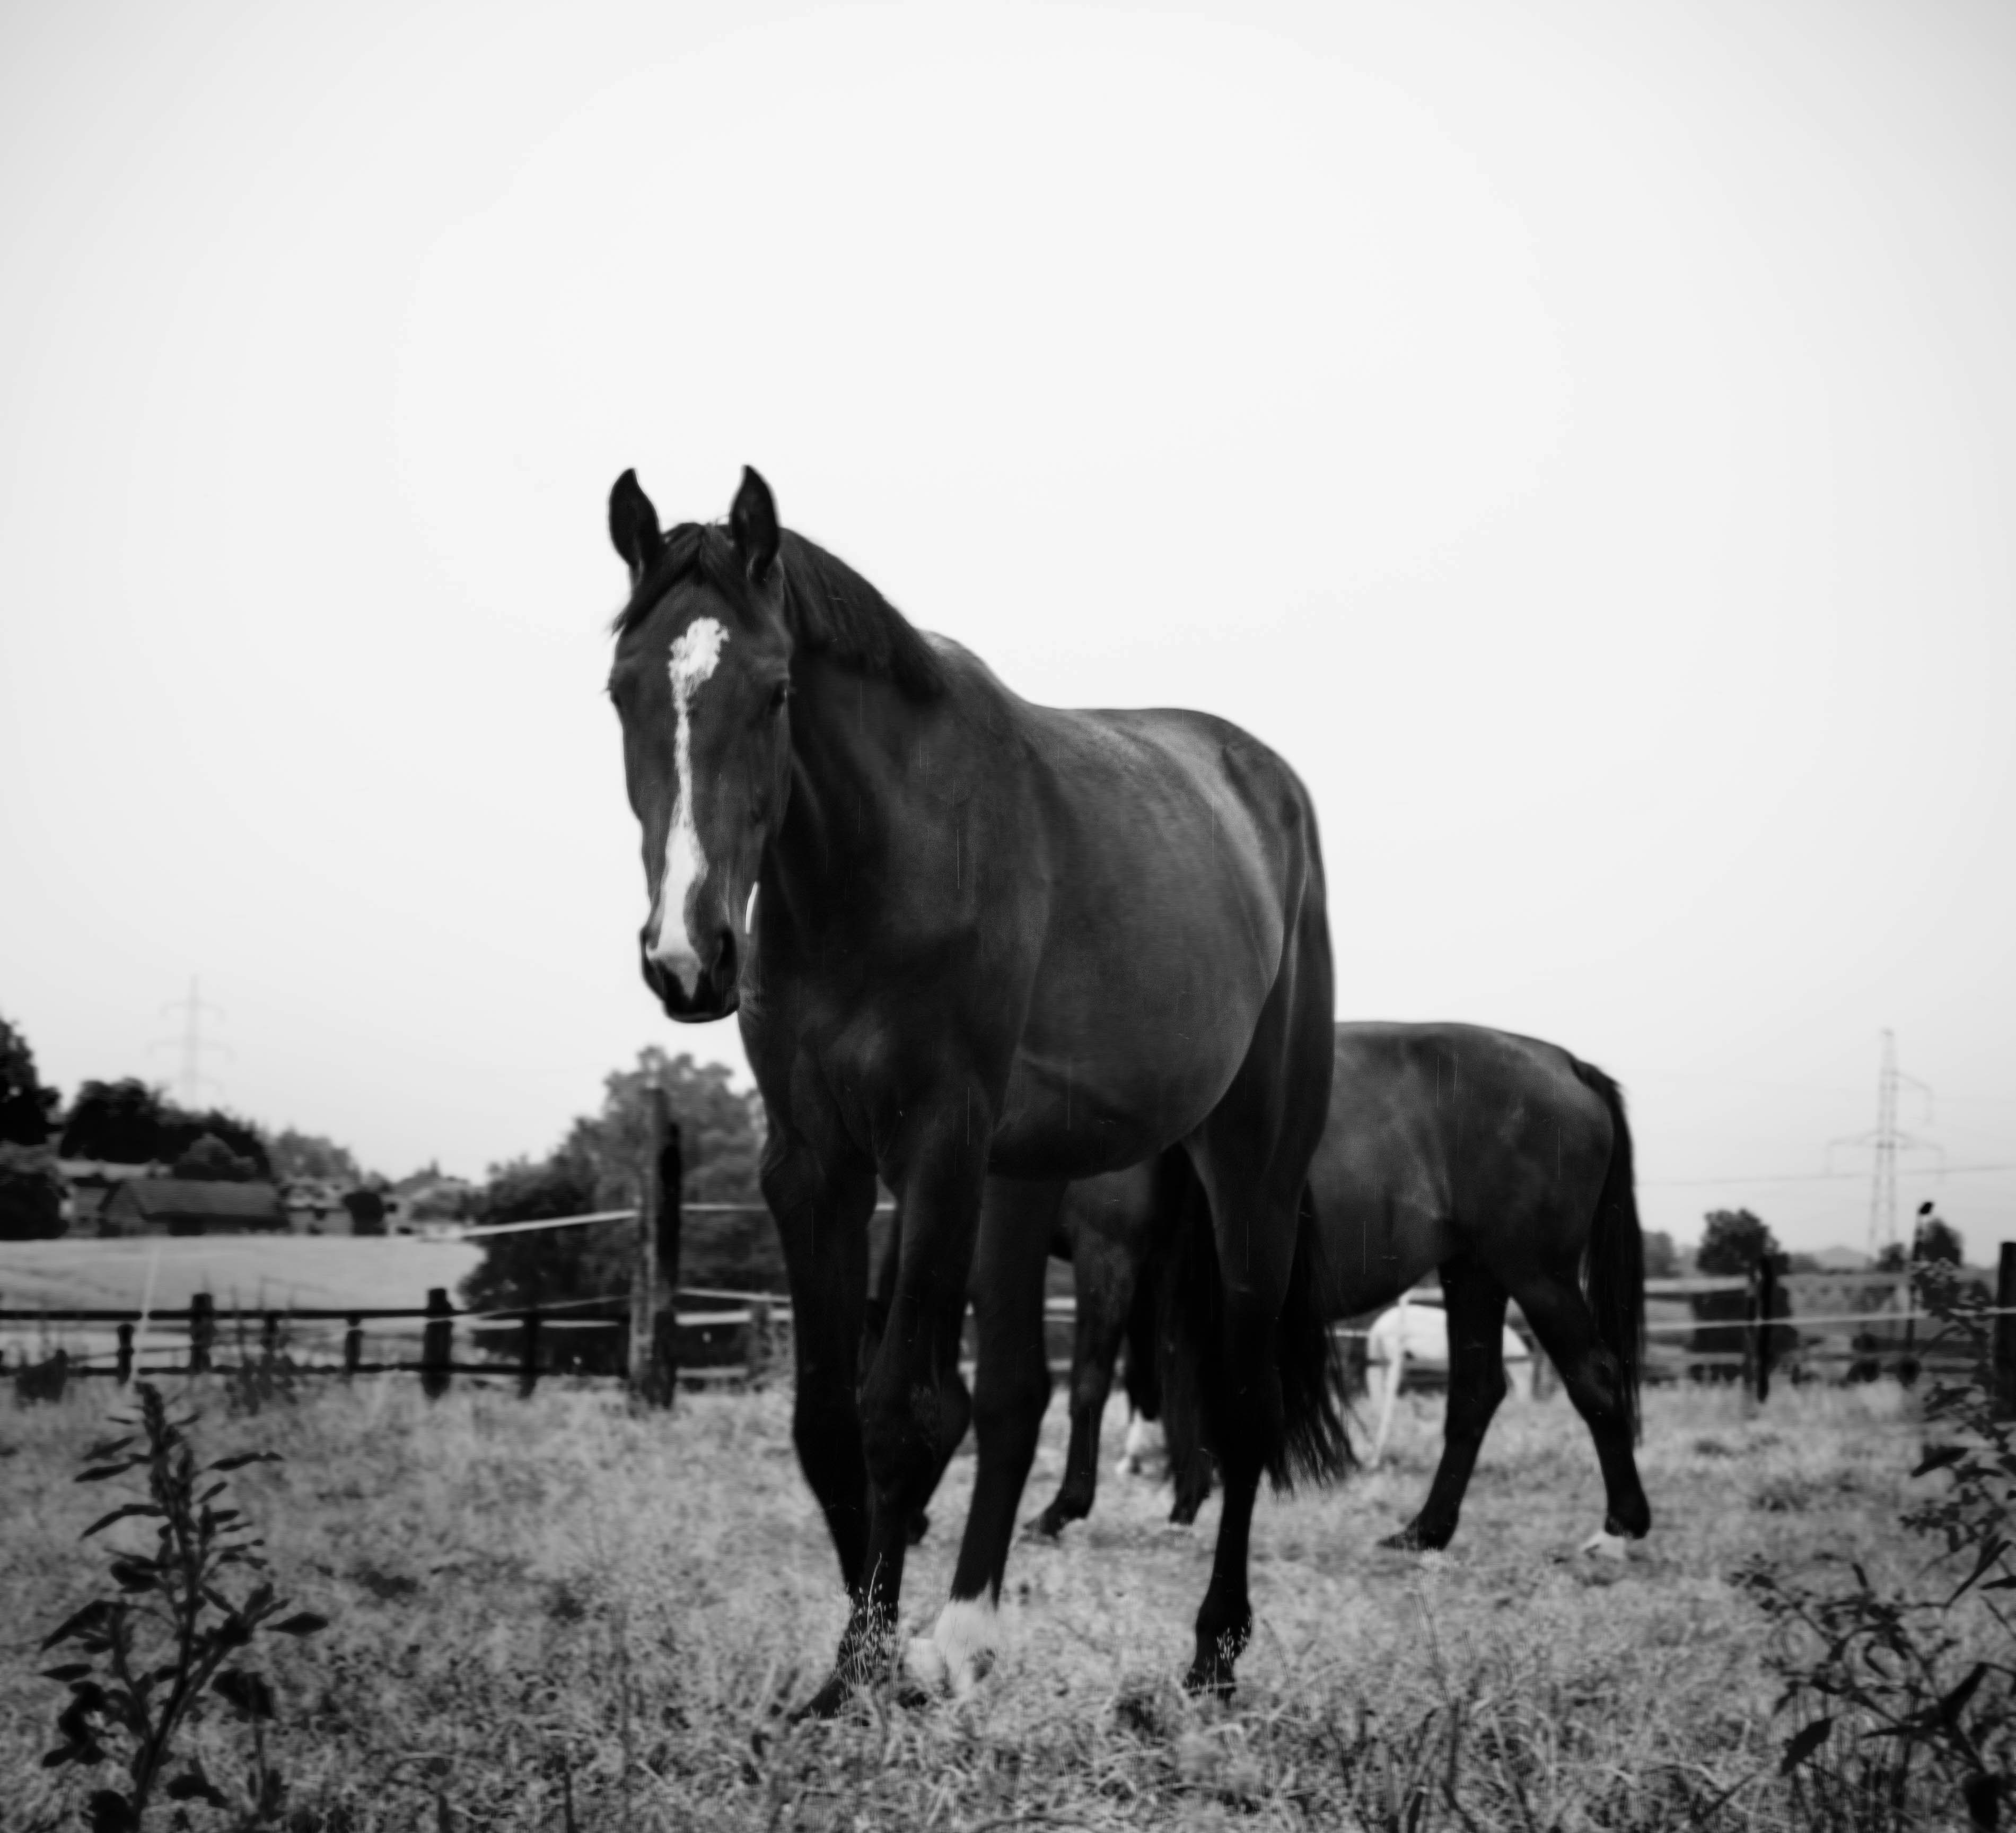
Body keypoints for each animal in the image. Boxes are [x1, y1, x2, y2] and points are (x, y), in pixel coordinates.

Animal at [603, 466, 1345, 1713]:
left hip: (1250, 1164)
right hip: (1022, 1177)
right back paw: (965, 1636)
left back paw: (1212, 1651)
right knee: (1013, 1399)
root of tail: (1267, 787)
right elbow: (828, 1420)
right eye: (620, 690)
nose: (687, 956)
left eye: (778, 688)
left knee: (1241, 1408)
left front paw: (858, 1676)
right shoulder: (812, 1162)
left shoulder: (937, 1146)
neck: (880, 860)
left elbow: (900, 1411)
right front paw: (875, 1651)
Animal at [1024, 1021, 1649, 1556]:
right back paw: (1423, 1532)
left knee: (1592, 1376)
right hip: (1474, 1271)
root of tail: (1566, 1064)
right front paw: (1183, 1507)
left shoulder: (1108, 1249)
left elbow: (1091, 1383)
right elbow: (1172, 1382)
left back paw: (1617, 1530)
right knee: (1475, 1393)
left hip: (1537, 1272)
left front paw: (1062, 1510)